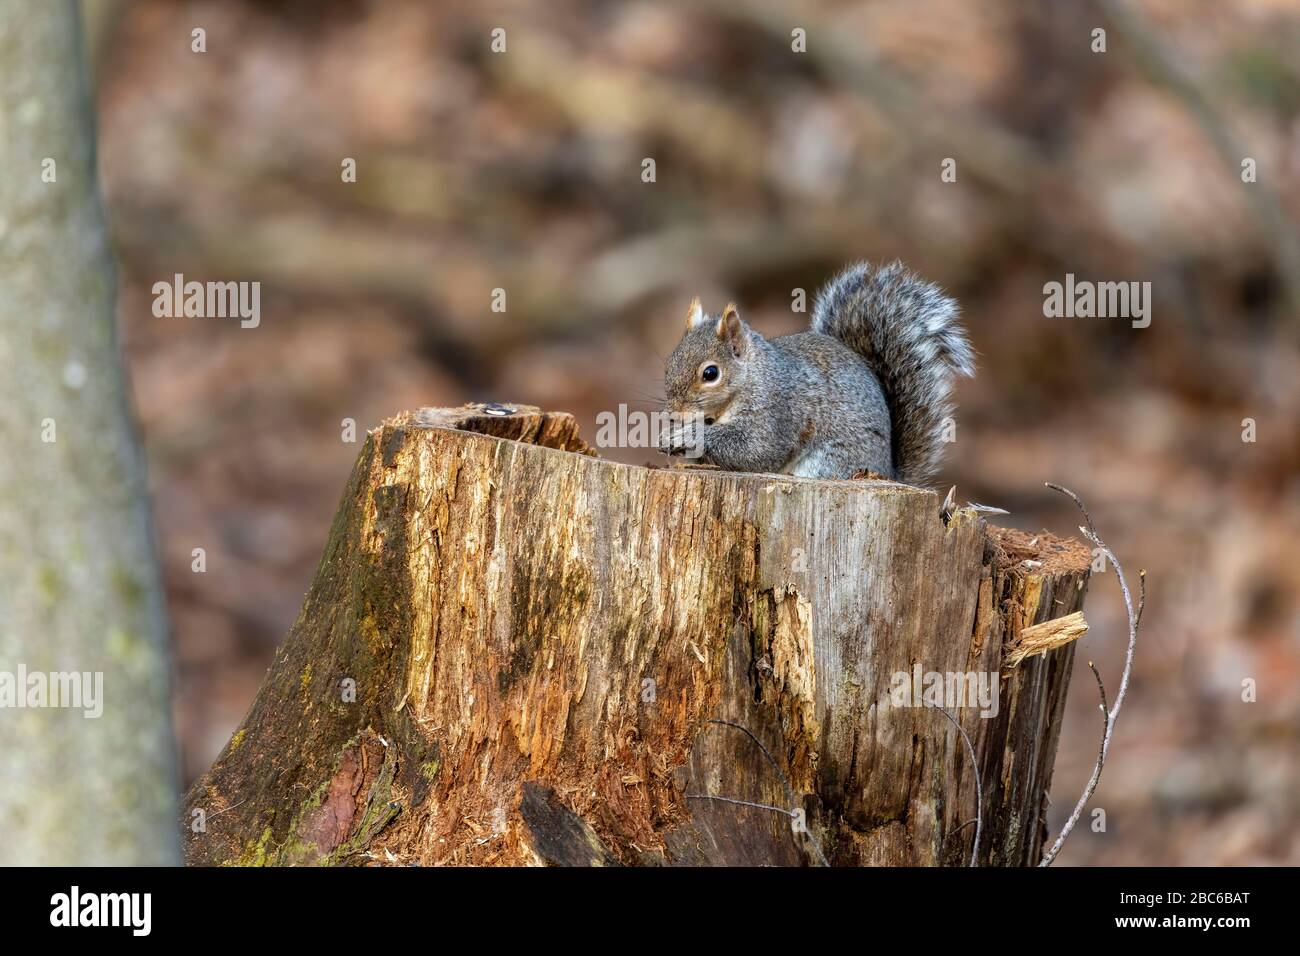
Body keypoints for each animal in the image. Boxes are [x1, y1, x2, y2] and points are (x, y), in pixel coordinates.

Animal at [658, 261, 975, 486]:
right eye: (669, 363)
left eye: (710, 373)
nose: (674, 412)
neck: (752, 377)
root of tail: (888, 471)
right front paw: (668, 437)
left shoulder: (775, 412)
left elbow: (755, 449)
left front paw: (689, 435)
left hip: (833, 459)